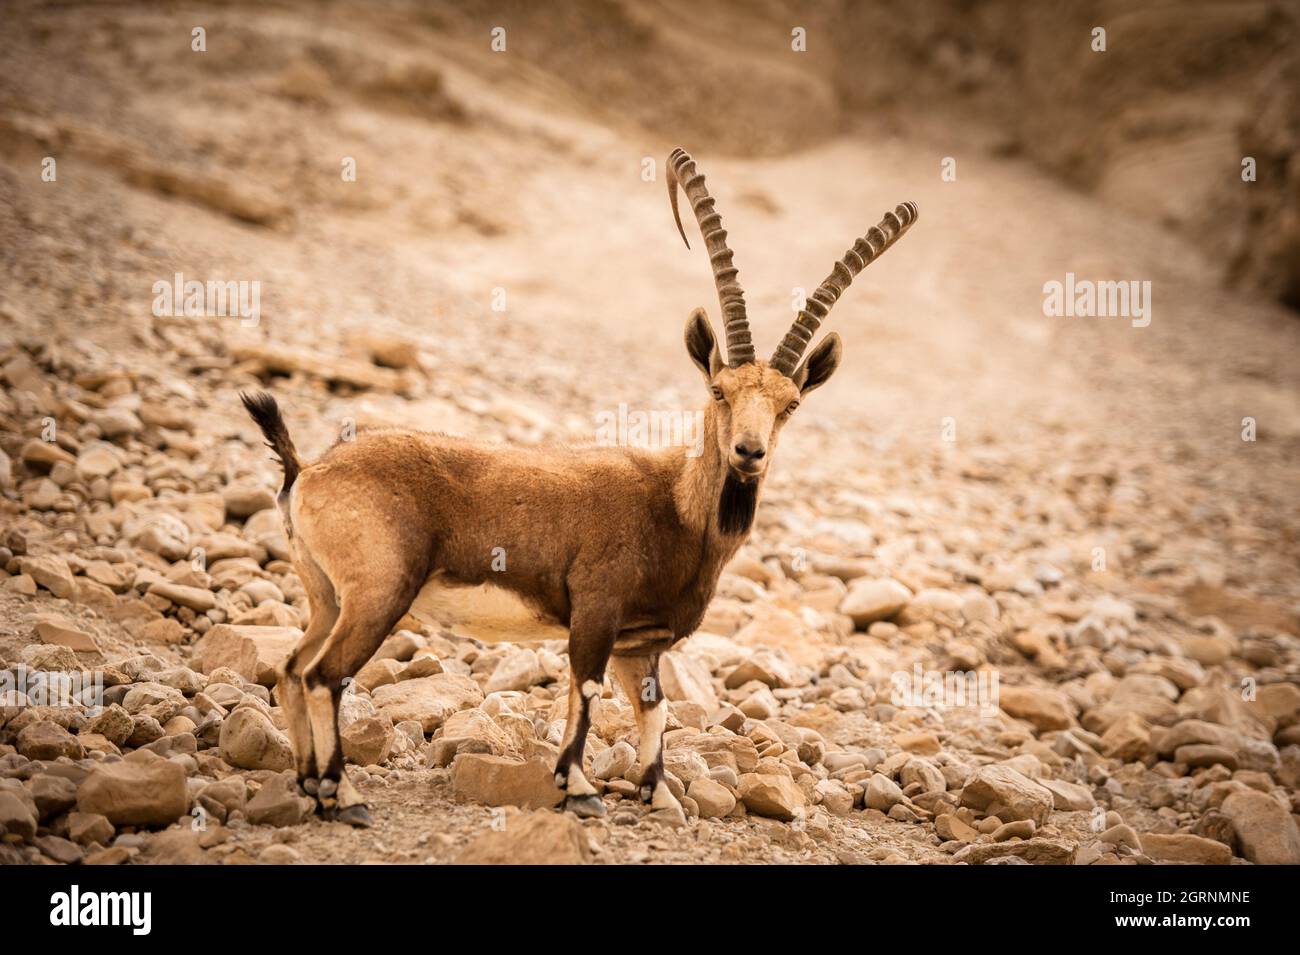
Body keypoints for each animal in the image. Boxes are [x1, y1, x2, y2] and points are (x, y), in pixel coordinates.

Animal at [240, 147, 918, 826]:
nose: (748, 453)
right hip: (379, 592)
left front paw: (659, 794)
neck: (678, 508)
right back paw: (344, 794)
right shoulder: (596, 609)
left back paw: (309, 785)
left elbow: (654, 707)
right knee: (324, 674)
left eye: (790, 405)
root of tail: (308, 471)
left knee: (291, 668)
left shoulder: (639, 643)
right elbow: (586, 690)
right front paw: (579, 787)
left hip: (327, 596)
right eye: (719, 390)